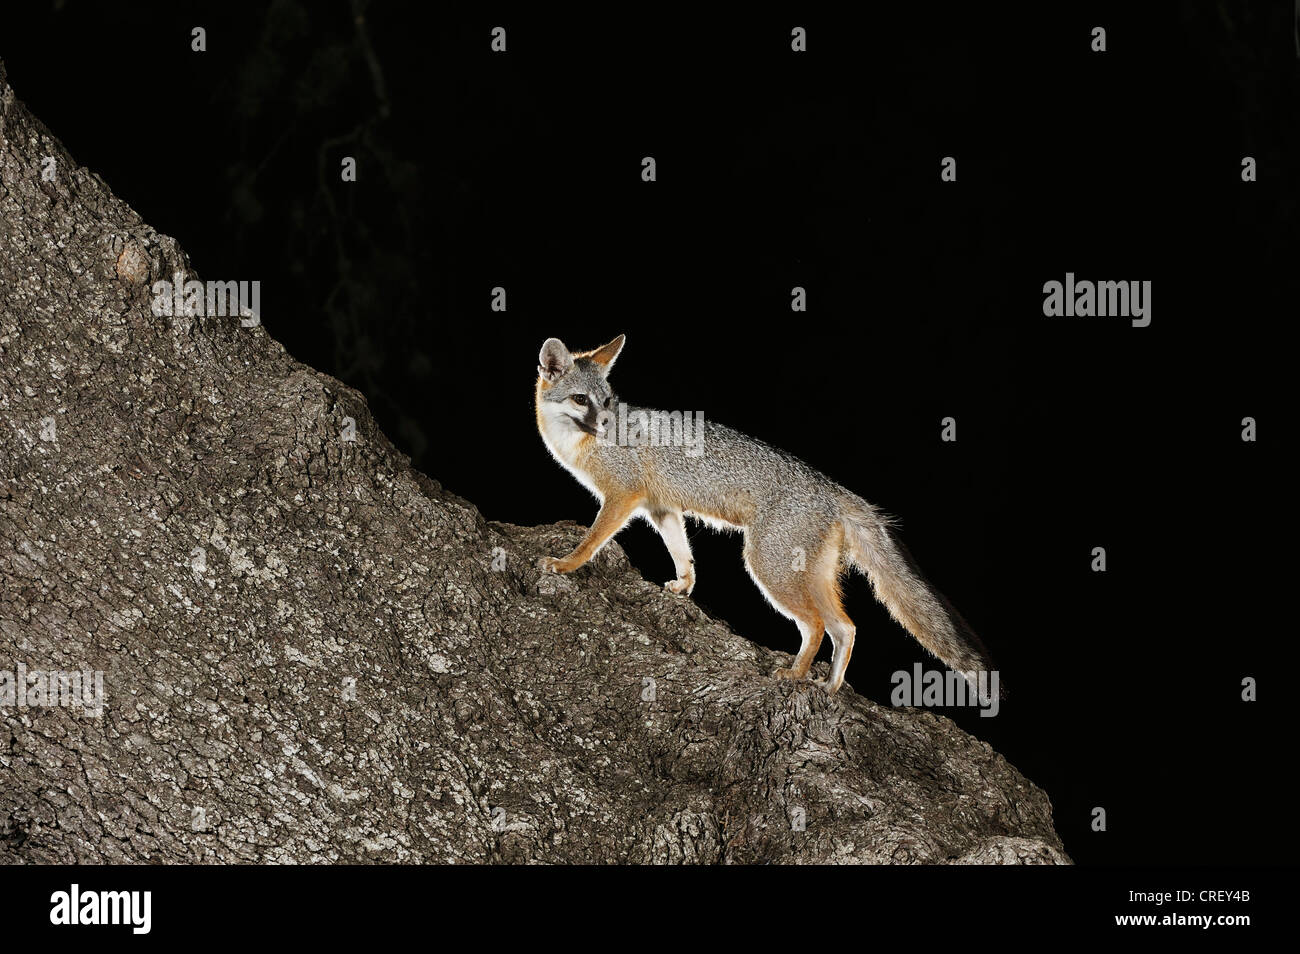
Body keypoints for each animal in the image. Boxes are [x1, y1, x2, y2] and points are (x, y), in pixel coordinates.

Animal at [535, 334, 999, 697]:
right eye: (581, 400)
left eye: (608, 401)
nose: (607, 423)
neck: (578, 444)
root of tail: (833, 489)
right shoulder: (660, 506)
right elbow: (682, 552)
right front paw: (684, 585)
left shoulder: (623, 496)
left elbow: (593, 539)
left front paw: (566, 563)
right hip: (805, 573)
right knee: (846, 627)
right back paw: (830, 684)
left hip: (766, 565)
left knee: (817, 625)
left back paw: (795, 674)